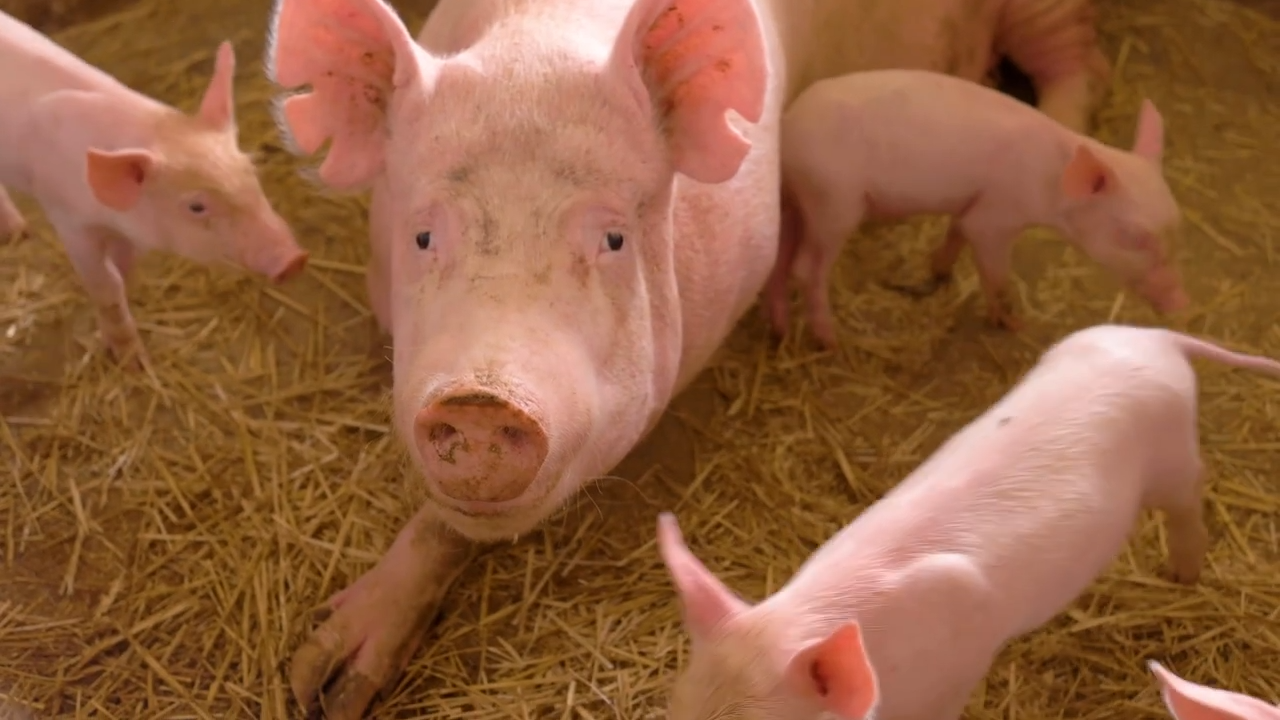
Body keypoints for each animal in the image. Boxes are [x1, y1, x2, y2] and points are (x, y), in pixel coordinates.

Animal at [0, 11, 308, 367]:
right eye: (196, 206)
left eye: (250, 171)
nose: (294, 258)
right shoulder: (66, 217)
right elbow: (106, 286)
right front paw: (132, 362)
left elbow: (125, 267)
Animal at [764, 69, 1184, 348]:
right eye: (1134, 236)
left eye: (1175, 223)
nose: (1180, 302)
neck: (1051, 184)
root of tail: (789, 127)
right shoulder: (997, 217)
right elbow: (996, 274)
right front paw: (1014, 324)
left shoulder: (972, 205)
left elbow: (956, 233)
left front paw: (939, 273)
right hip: (834, 202)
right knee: (806, 267)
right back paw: (830, 341)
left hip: (799, 202)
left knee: (780, 258)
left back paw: (781, 332)